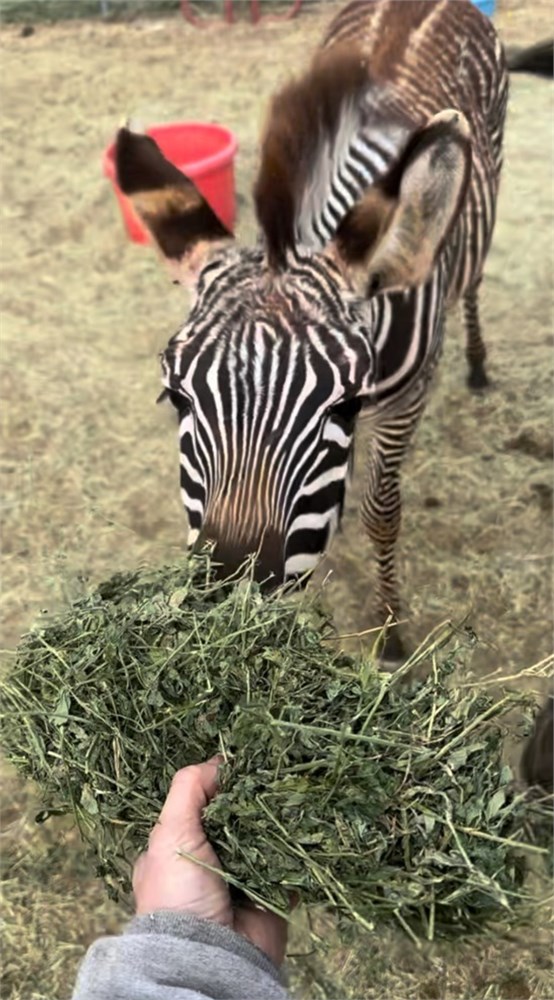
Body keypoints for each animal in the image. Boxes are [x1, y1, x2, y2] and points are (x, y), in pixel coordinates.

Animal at [115, 0, 530, 662]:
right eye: (176, 397)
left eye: (346, 404)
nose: (231, 600)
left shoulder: (405, 403)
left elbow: (383, 512)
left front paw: (390, 632)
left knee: (475, 282)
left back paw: (478, 361)